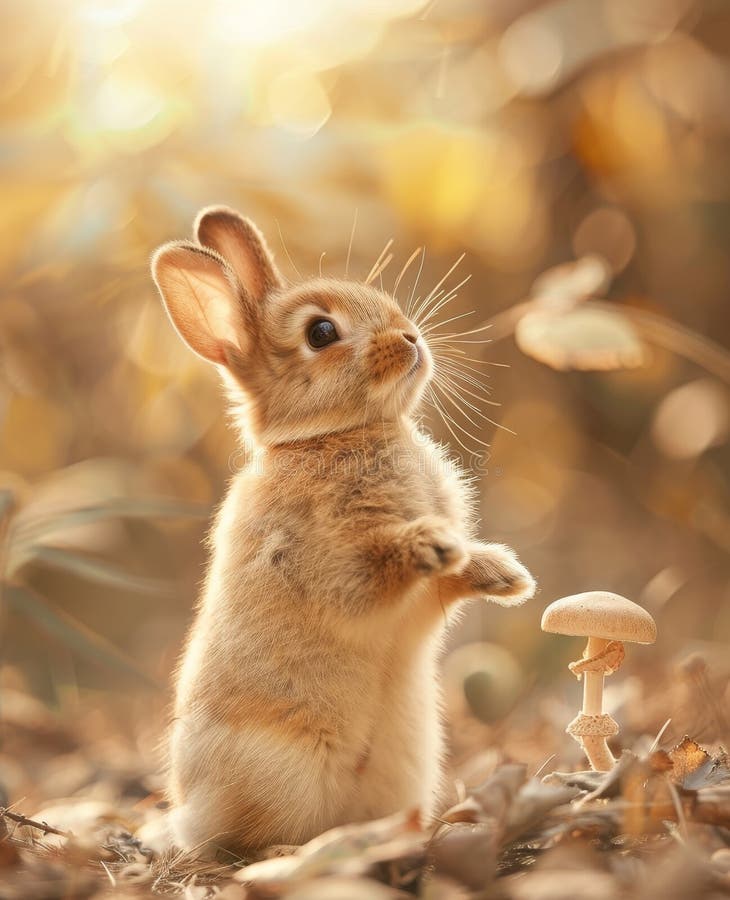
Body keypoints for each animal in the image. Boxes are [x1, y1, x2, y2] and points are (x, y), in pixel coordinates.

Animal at [150, 206, 535, 858]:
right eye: (322, 333)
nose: (410, 337)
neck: (333, 435)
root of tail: (190, 815)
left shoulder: (429, 597)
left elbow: (449, 584)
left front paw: (507, 575)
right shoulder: (317, 558)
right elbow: (367, 574)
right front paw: (432, 542)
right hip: (283, 772)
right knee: (246, 842)